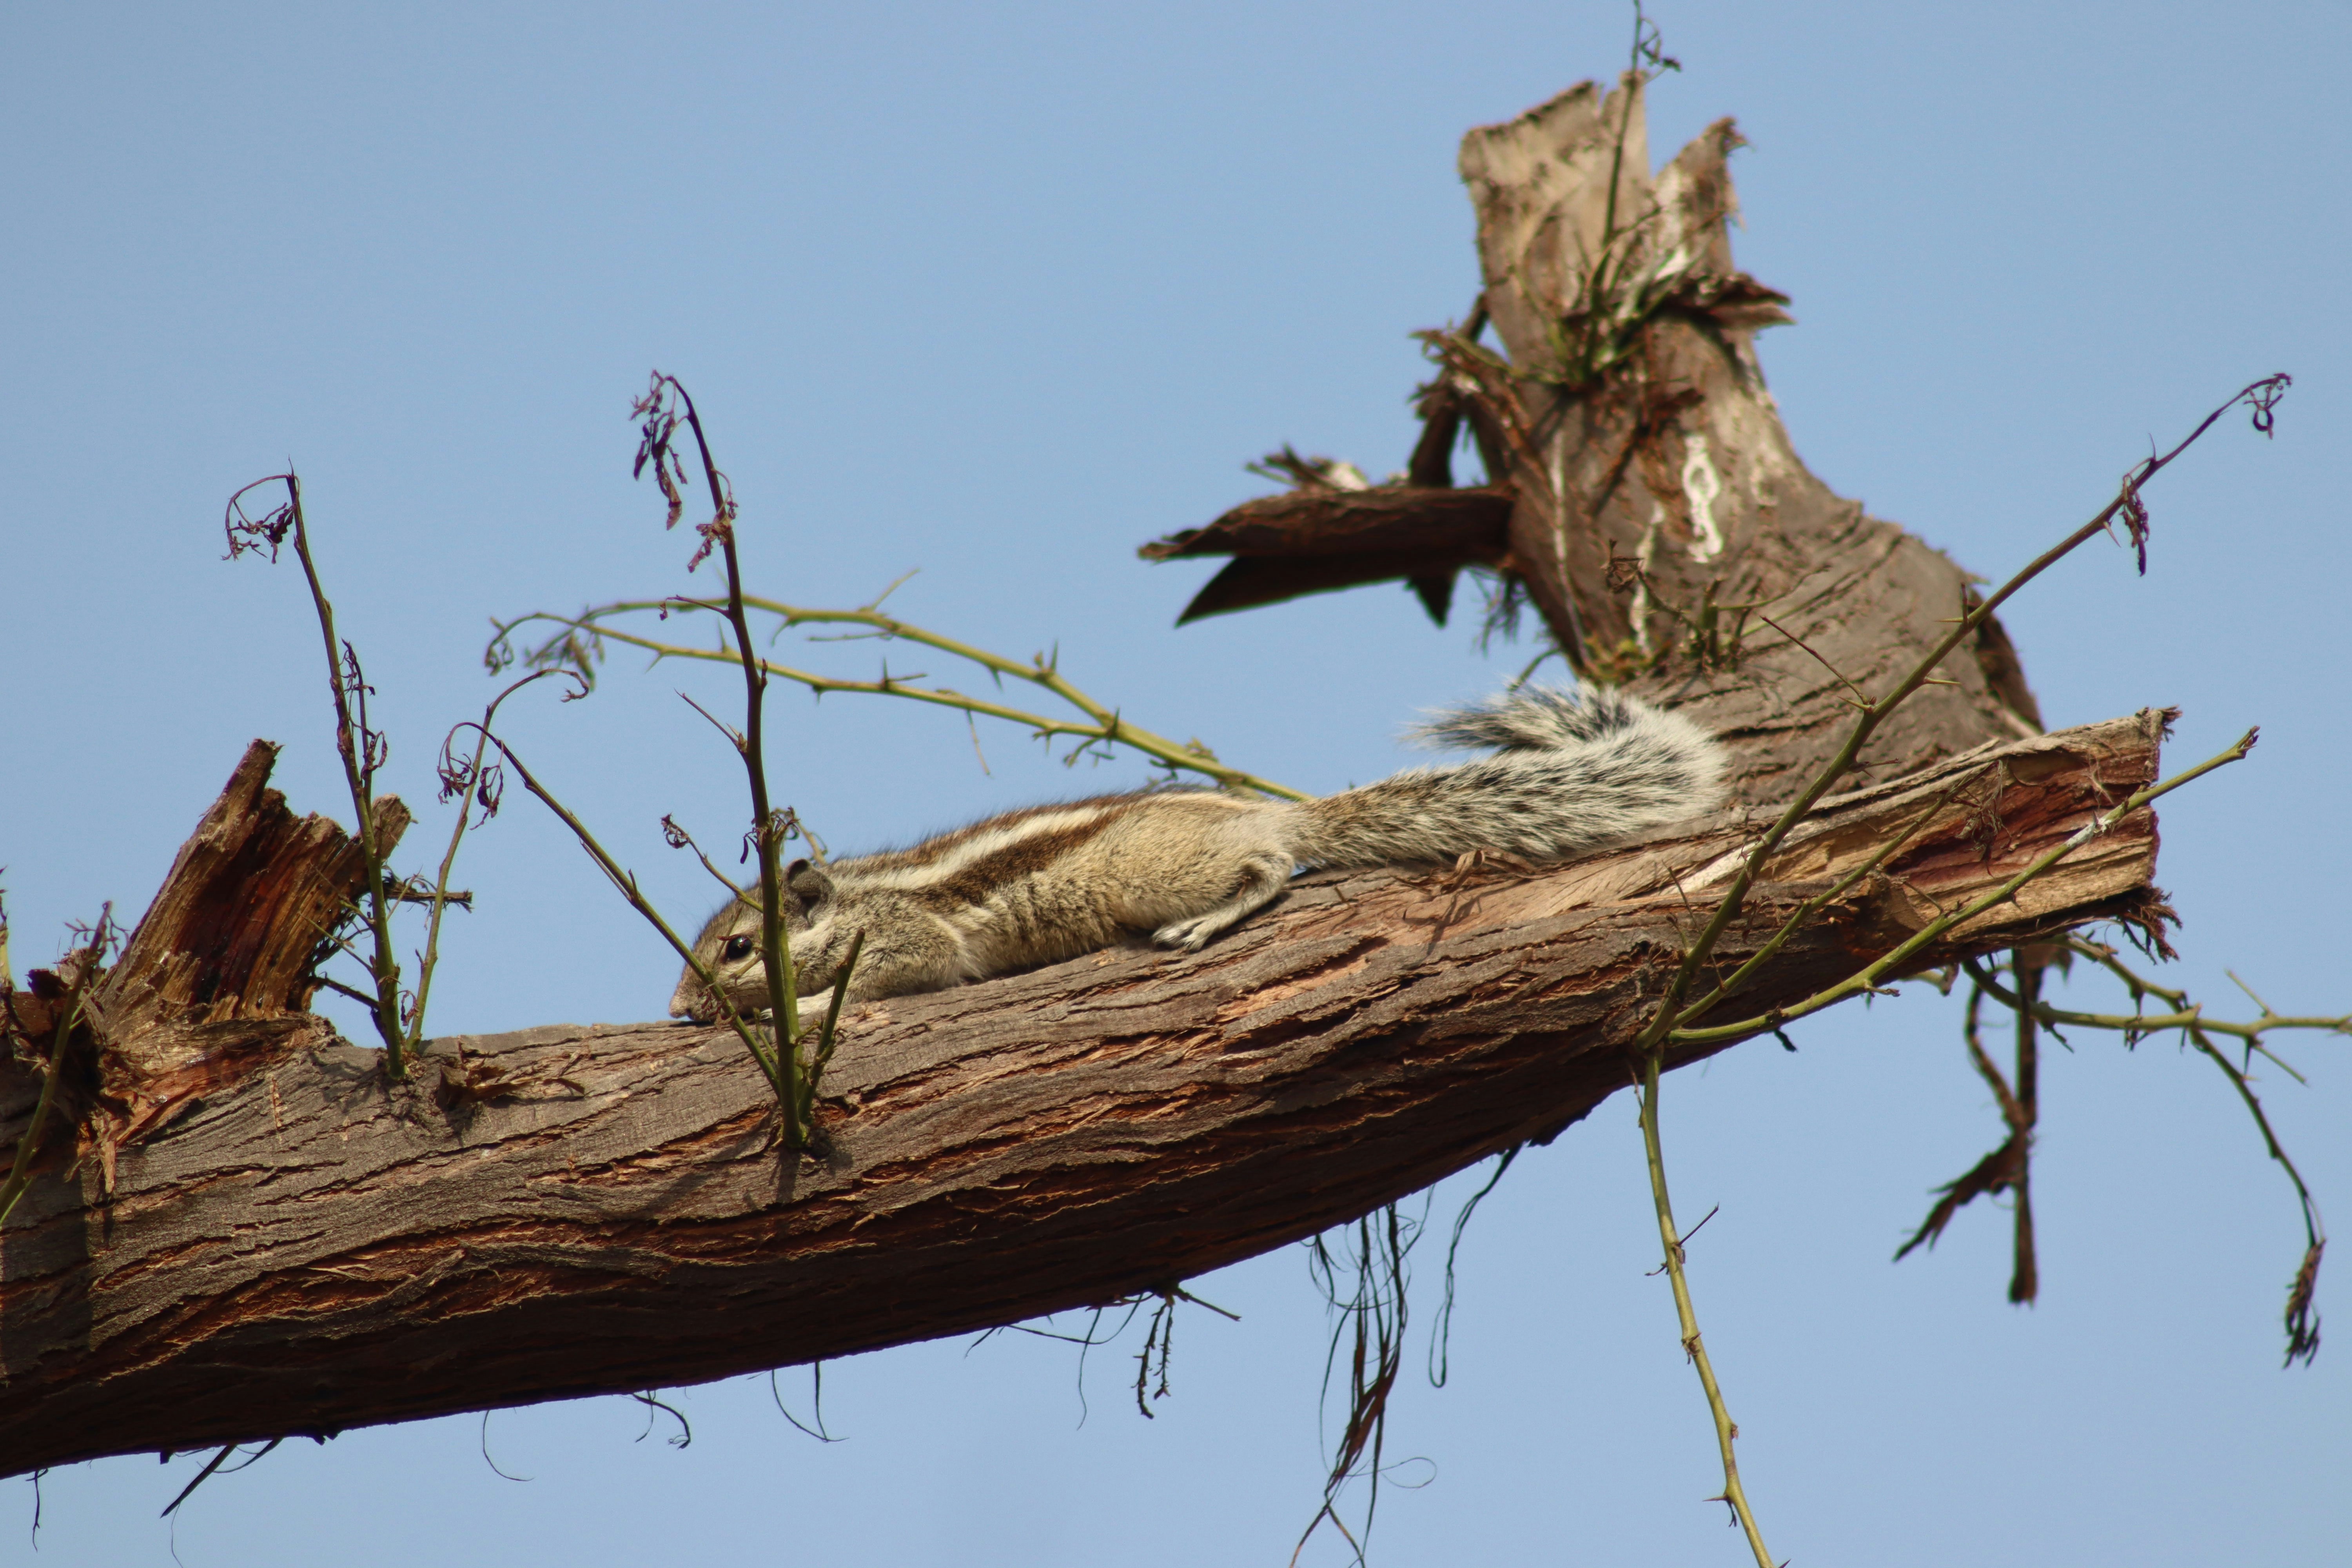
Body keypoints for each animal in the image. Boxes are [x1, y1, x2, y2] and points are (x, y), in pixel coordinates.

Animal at [668, 687, 1725, 1023]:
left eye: (737, 948)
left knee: (1267, 874)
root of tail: (1274, 816)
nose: (679, 1008)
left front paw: (796, 1010)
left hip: (1154, 875)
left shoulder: (911, 939)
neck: (858, 899)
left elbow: (894, 975)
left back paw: (1212, 915)